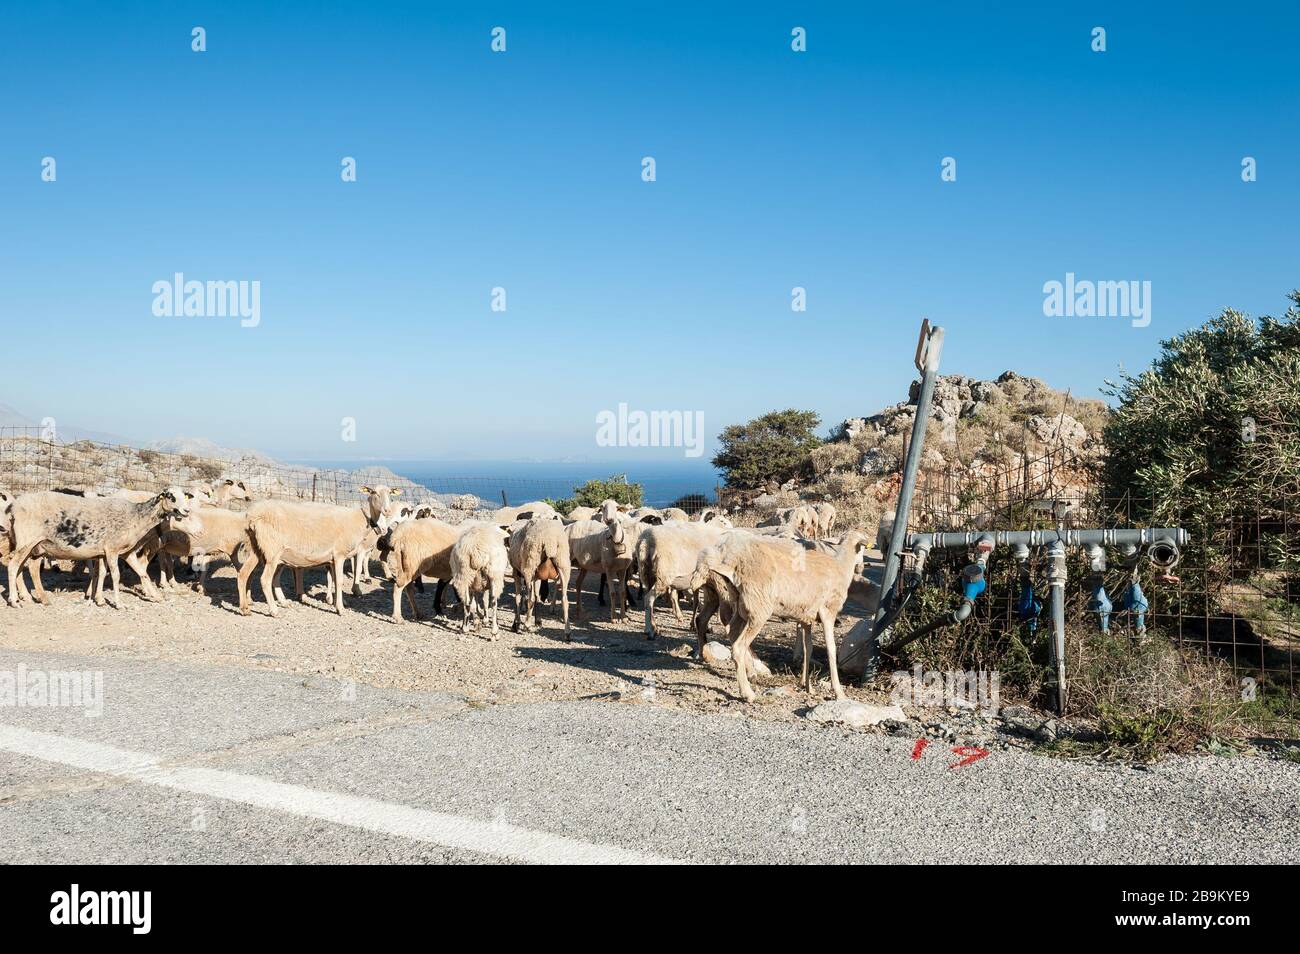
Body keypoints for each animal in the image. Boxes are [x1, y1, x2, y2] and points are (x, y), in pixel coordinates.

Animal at [4, 487, 196, 609]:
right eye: (171, 496)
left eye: (184, 496)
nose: (186, 511)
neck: (136, 516)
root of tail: (14, 506)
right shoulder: (112, 550)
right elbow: (116, 575)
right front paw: (118, 604)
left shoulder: (120, 552)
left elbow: (138, 572)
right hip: (27, 541)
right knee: (14, 566)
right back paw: (15, 601)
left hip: (37, 545)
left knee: (29, 568)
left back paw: (38, 598)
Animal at [688, 529, 871, 702]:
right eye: (862, 547)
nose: (861, 568)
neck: (842, 566)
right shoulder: (828, 611)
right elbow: (831, 649)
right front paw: (839, 692)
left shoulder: (806, 617)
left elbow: (808, 648)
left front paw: (807, 685)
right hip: (758, 607)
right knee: (738, 646)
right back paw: (748, 693)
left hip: (740, 605)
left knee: (730, 632)